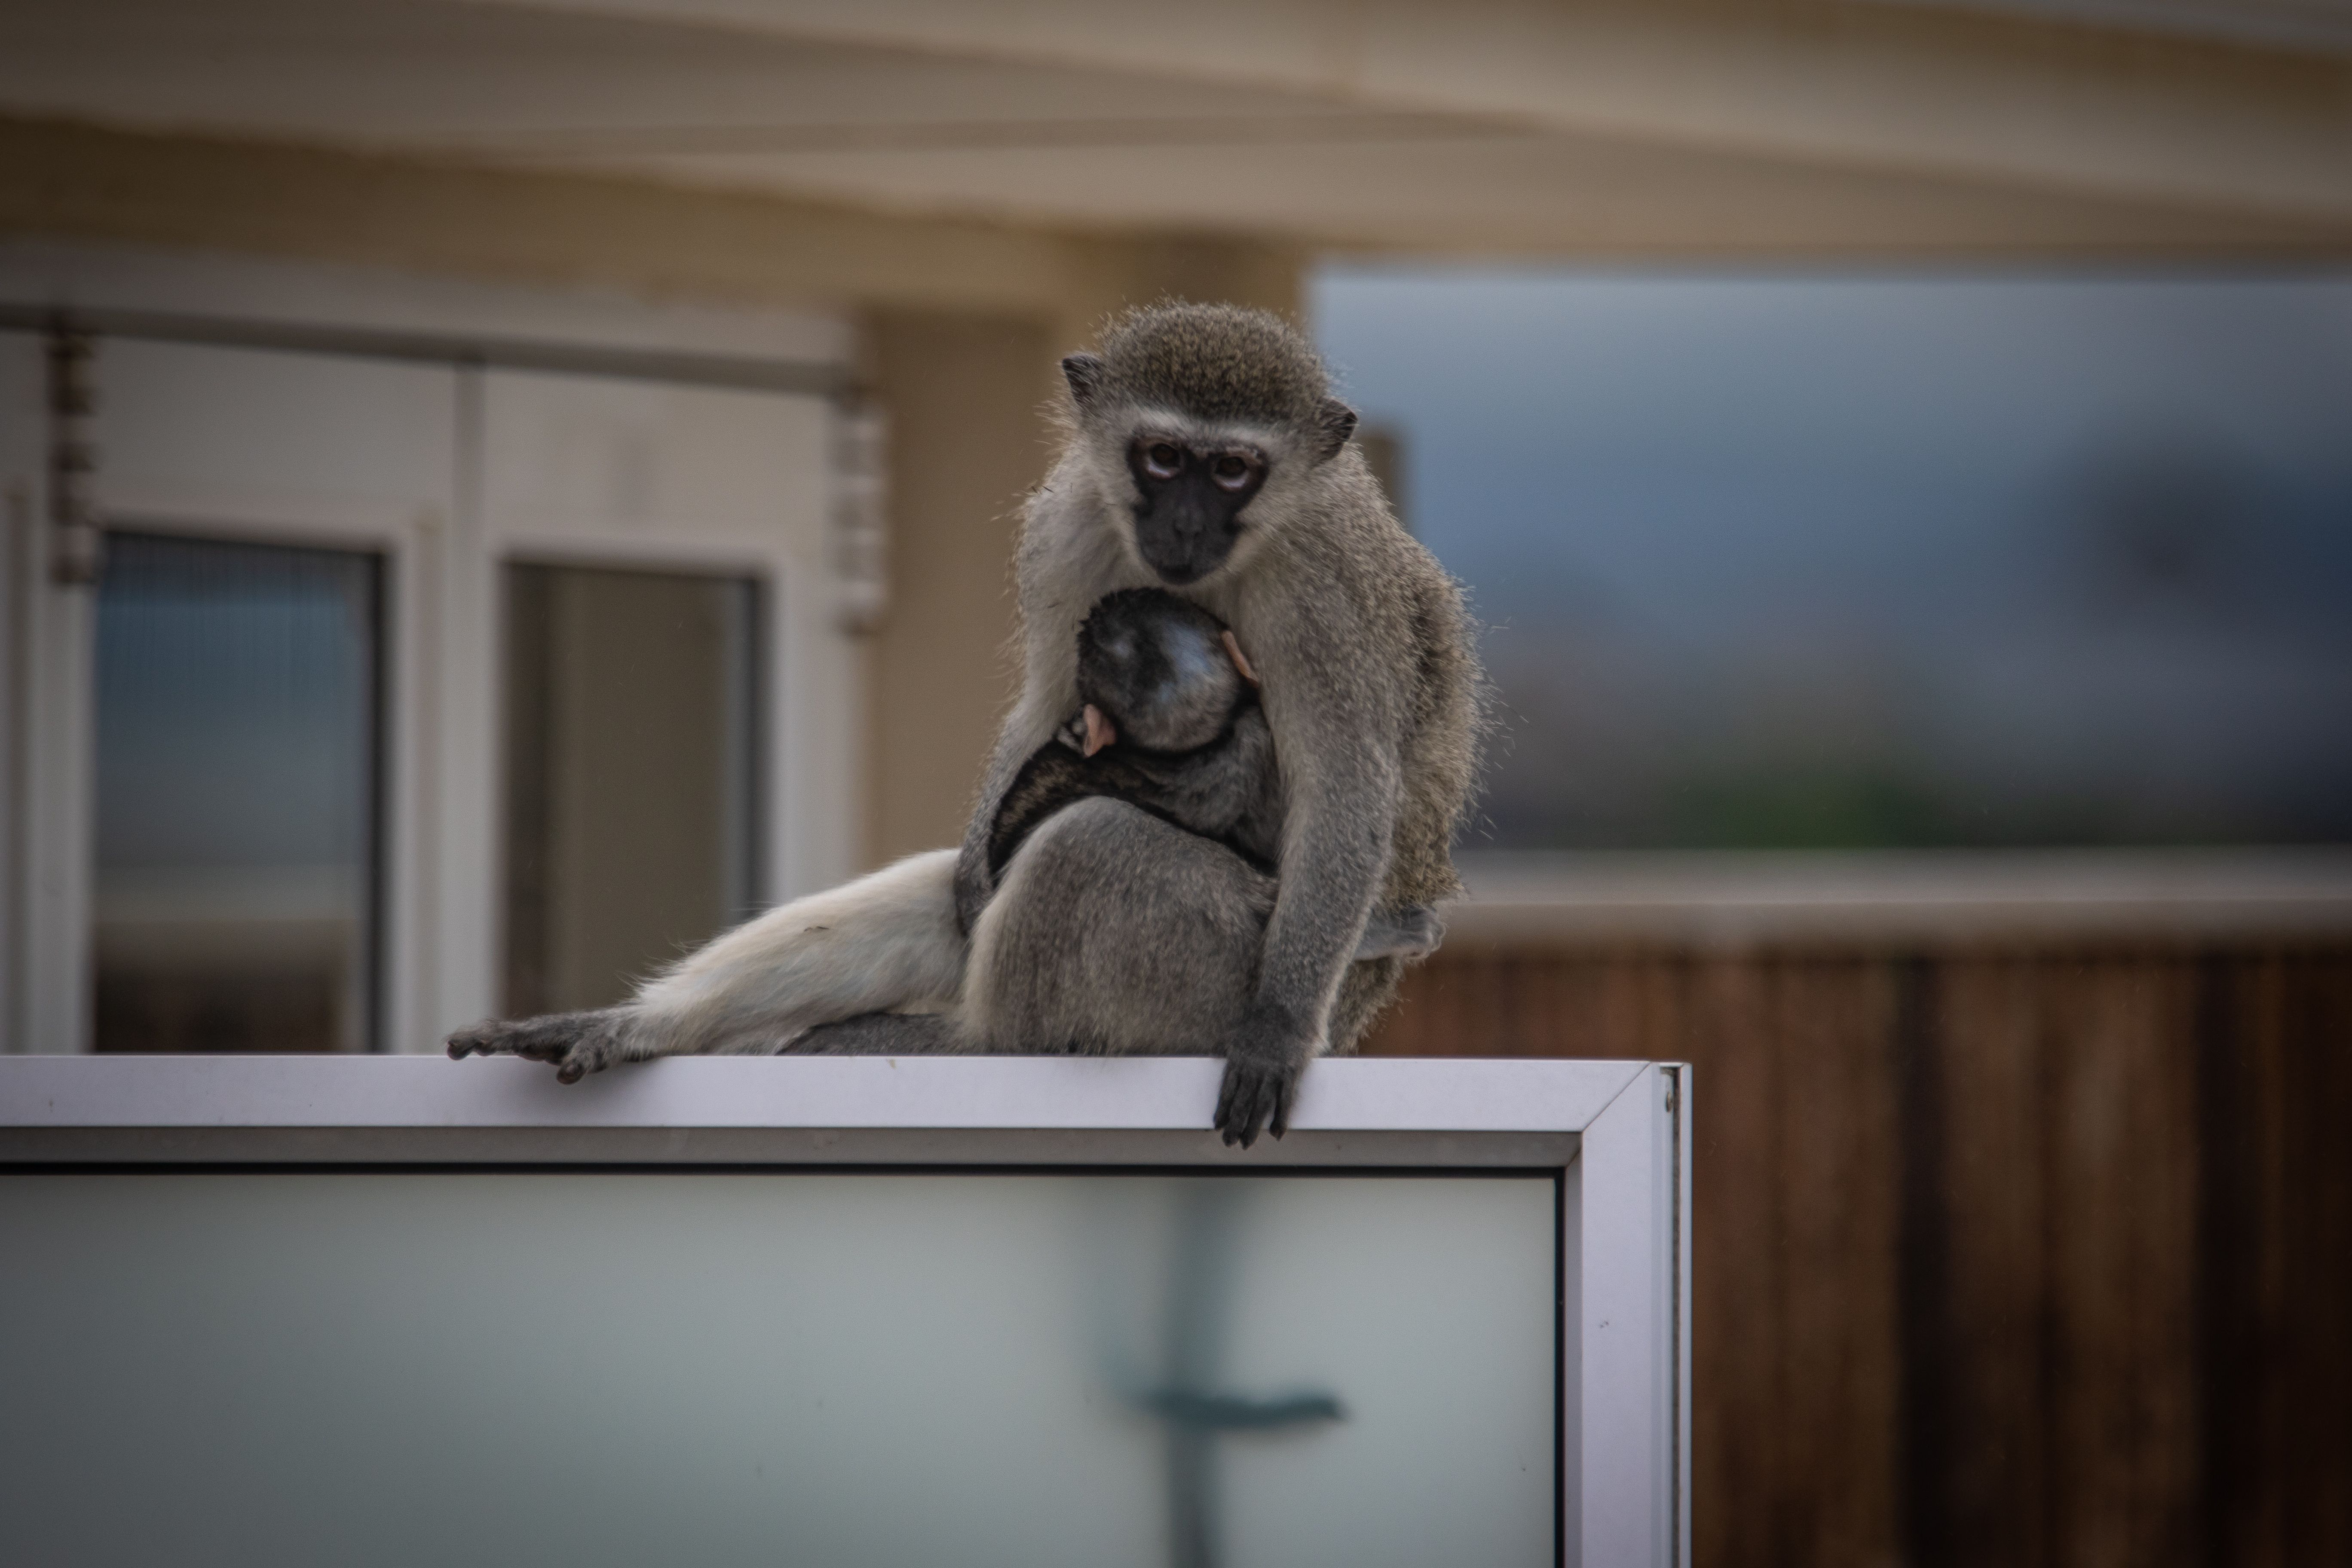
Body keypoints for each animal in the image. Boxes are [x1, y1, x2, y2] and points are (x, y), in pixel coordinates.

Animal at [449, 302, 1481, 1148]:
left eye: (1233, 470)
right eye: (1162, 458)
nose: (1185, 527)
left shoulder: (1326, 599)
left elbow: (1344, 792)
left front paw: (1276, 1025)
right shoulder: (1069, 528)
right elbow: (1039, 709)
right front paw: (985, 852)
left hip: (1213, 969)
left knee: (1090, 848)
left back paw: (978, 1043)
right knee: (953, 890)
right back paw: (644, 1027)